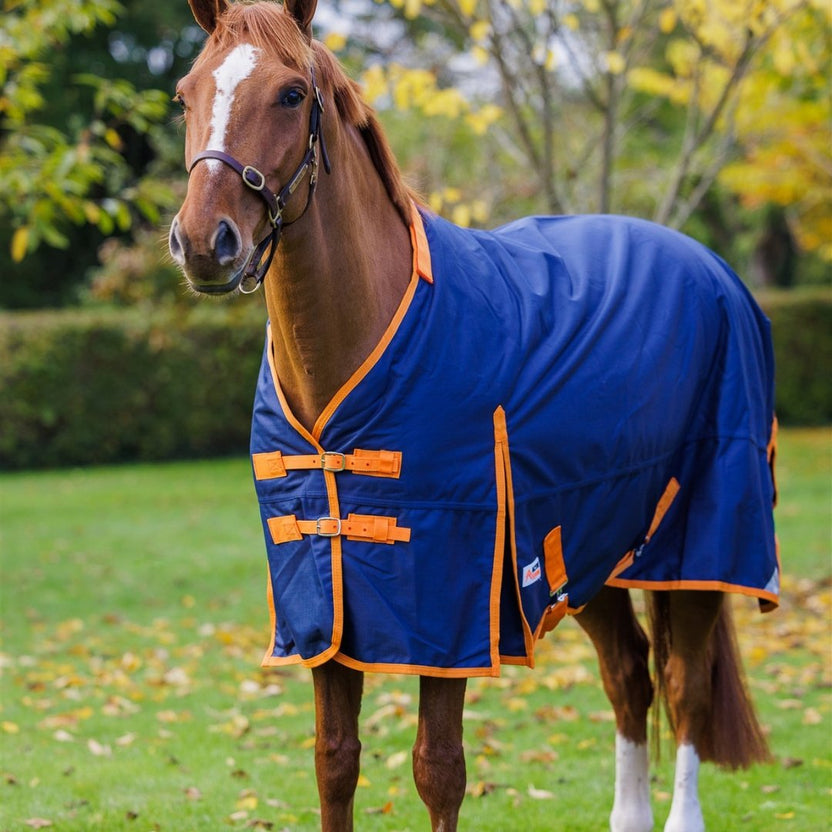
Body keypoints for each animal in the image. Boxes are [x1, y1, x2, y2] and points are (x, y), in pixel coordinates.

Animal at [167, 2, 779, 829]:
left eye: (291, 94)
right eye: (185, 95)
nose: (205, 242)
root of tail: (712, 268)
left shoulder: (448, 600)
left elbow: (439, 769)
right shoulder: (325, 601)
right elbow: (335, 764)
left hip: (701, 543)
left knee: (683, 686)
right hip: (585, 549)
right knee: (630, 676)